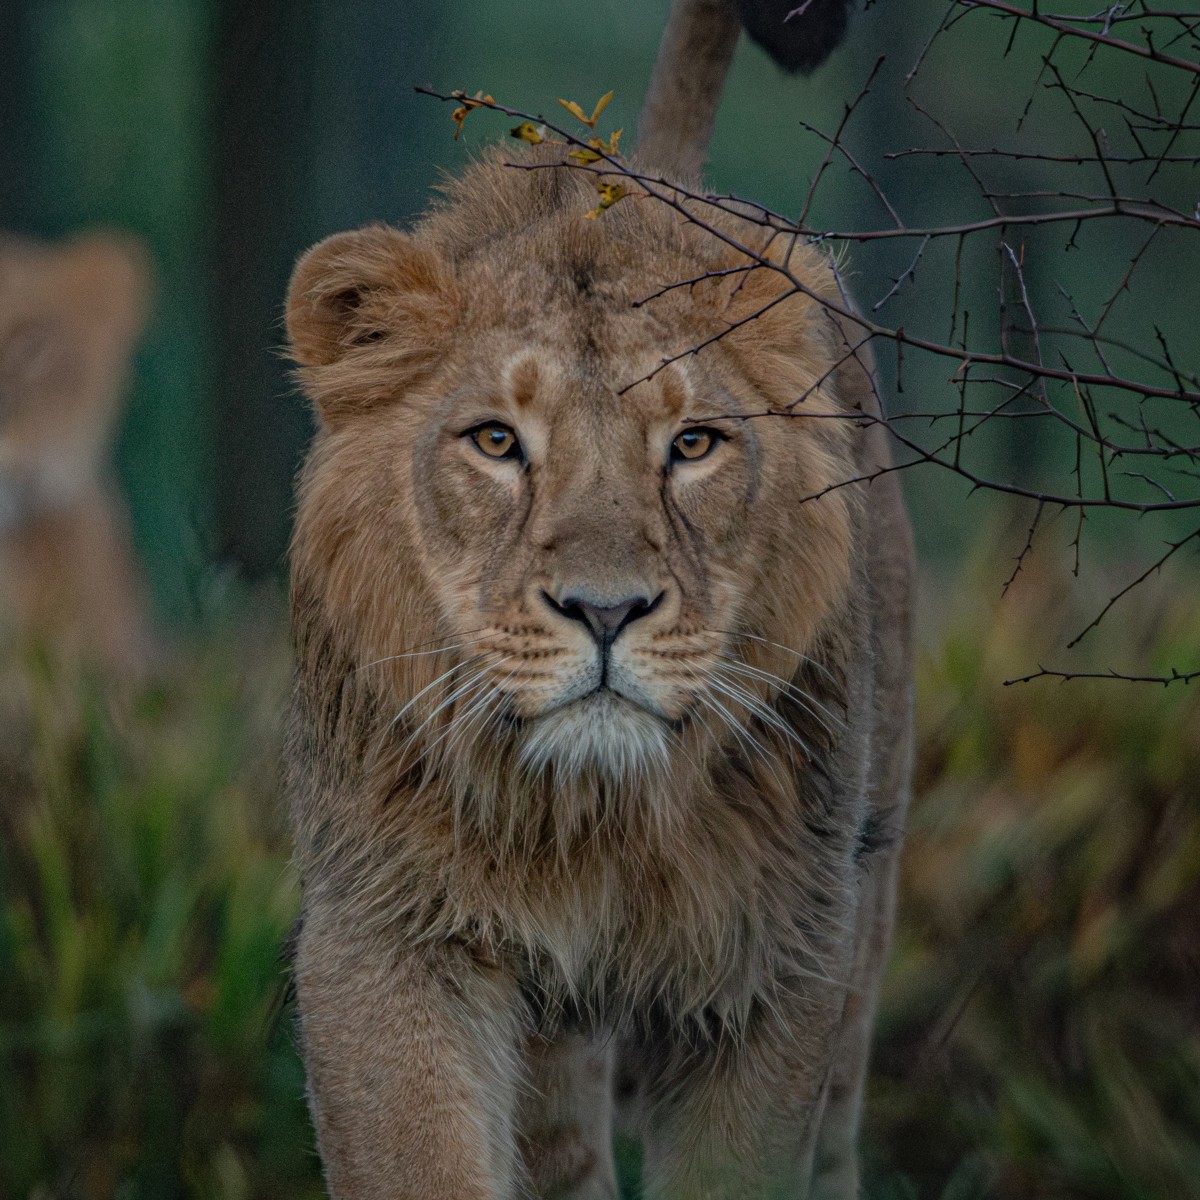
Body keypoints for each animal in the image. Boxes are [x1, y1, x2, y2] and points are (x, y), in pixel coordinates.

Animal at [283, 1, 912, 1196]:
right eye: (495, 442)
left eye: (694, 445)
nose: (607, 611)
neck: (590, 822)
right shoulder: (388, 932)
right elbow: (421, 1155)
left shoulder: (777, 967)